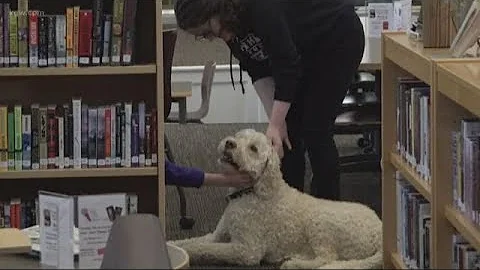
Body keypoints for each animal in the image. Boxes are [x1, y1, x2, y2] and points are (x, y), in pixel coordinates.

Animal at [171, 129, 384, 268]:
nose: (229, 143)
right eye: (239, 136)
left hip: (320, 223)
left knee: (327, 258)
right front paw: (174, 245)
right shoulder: (218, 235)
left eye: (253, 148)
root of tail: (380, 230)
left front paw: (192, 253)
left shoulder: (247, 250)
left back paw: (295, 264)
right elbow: (192, 241)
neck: (249, 192)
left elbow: (207, 248)